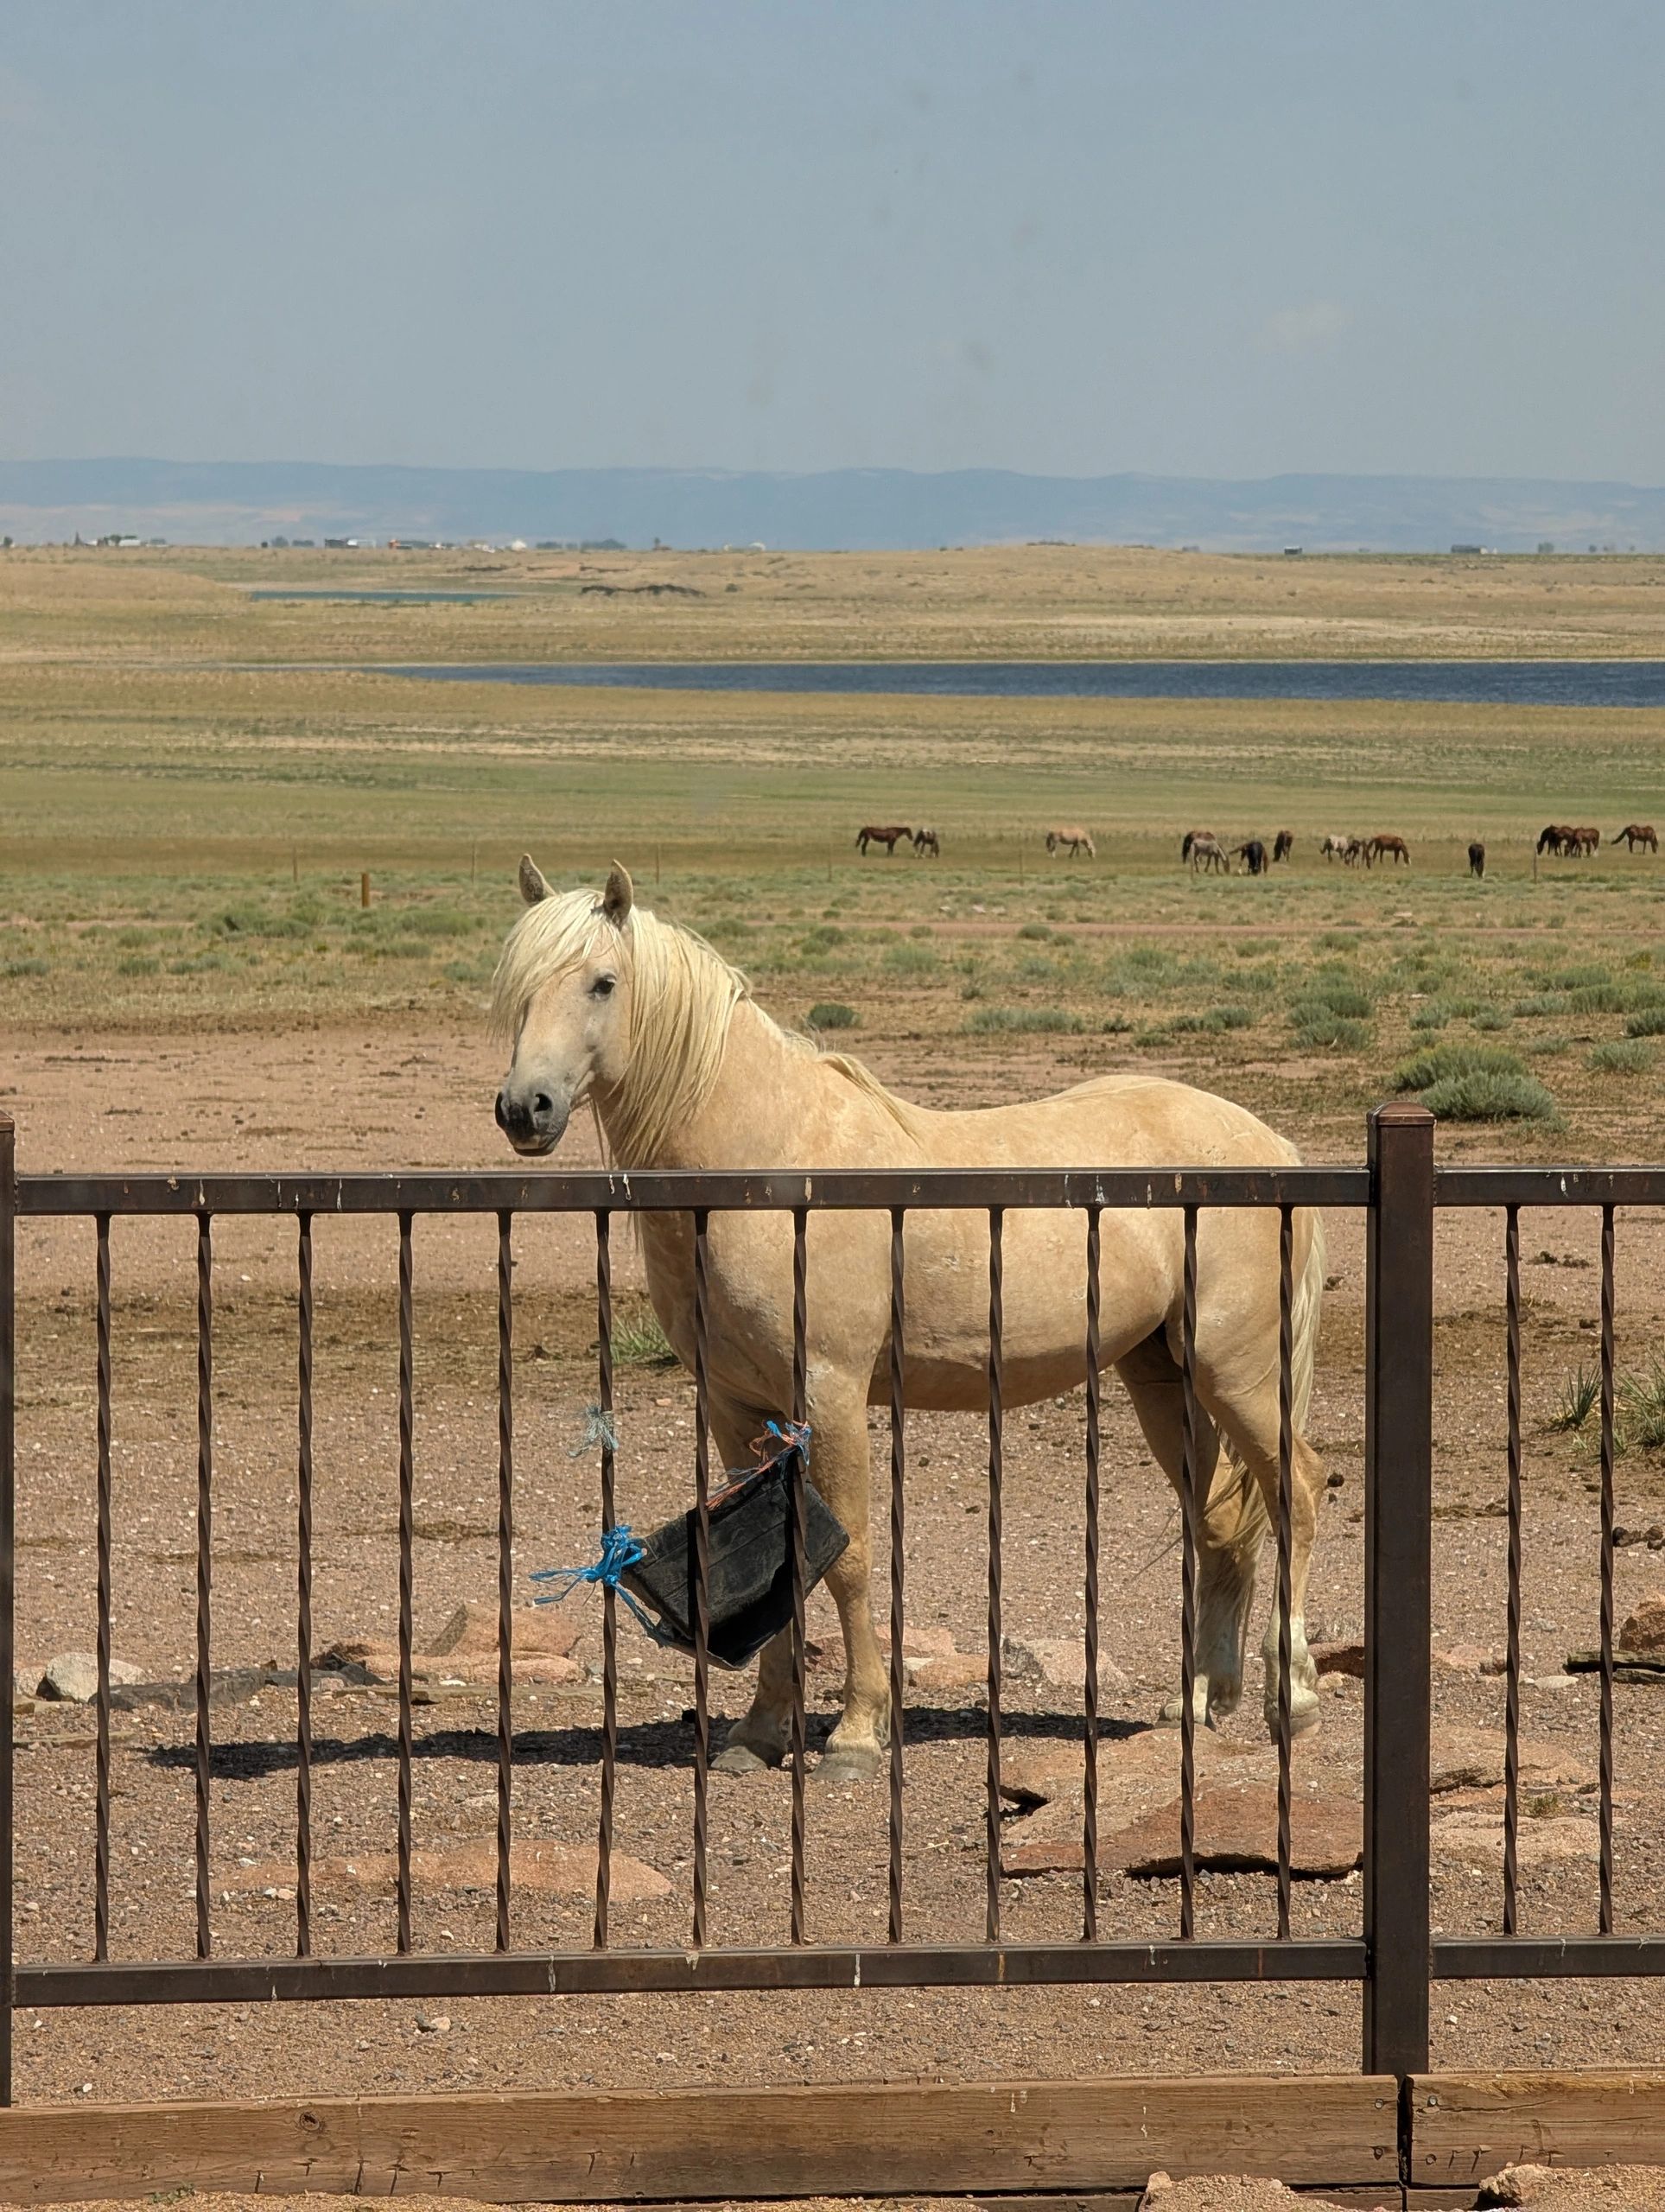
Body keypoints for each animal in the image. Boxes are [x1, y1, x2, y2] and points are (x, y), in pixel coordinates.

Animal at [492, 860, 1330, 1779]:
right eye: (518, 988)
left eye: (603, 983)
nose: (525, 1109)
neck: (770, 1163)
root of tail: (1269, 1145)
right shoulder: (735, 1405)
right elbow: (781, 1563)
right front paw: (758, 1734)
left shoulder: (830, 1393)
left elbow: (850, 1558)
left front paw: (857, 1734)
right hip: (1161, 1375)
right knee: (1218, 1524)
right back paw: (1196, 1703)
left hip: (1234, 1372)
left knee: (1296, 1491)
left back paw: (1292, 1700)